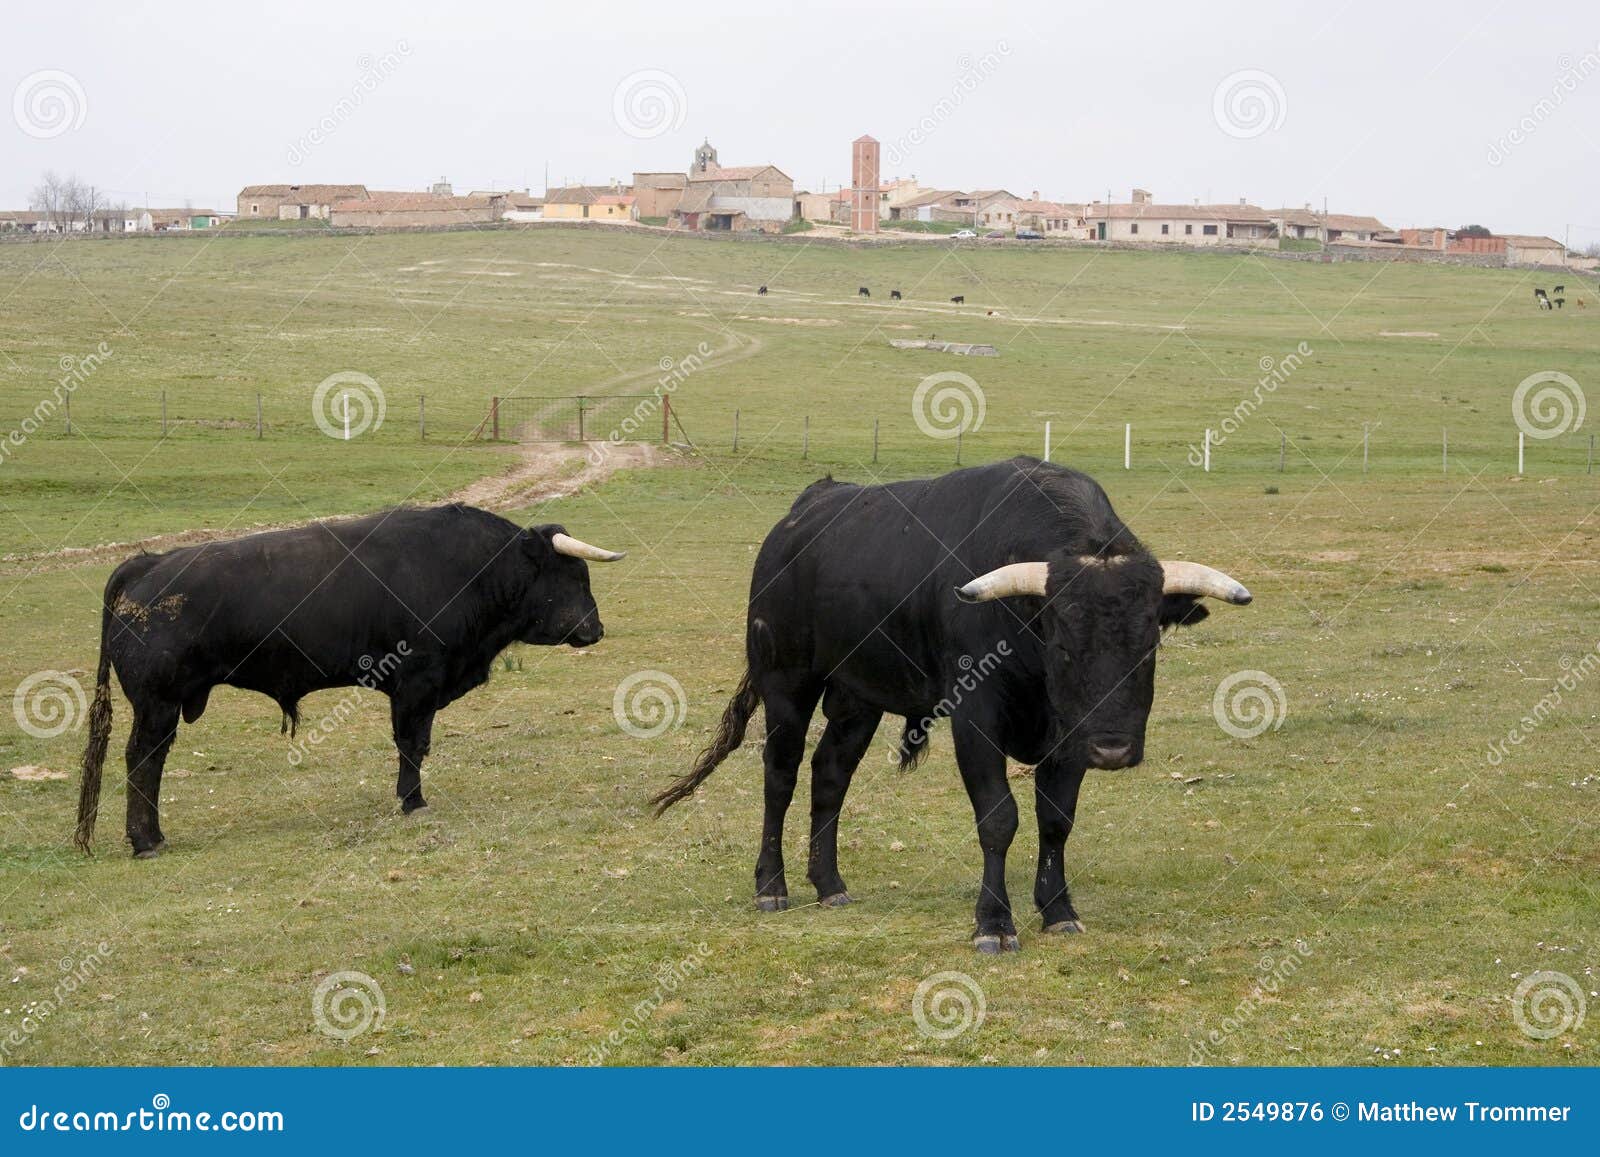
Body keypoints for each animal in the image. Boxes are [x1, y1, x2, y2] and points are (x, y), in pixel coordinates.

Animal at [75, 505, 624, 858]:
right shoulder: (416, 685)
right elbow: (412, 744)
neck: (472, 570)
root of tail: (147, 563)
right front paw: (413, 801)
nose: (595, 629)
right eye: (572, 576)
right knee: (144, 761)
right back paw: (146, 841)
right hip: (158, 705)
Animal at [651, 457, 1251, 952]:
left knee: (830, 776)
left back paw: (829, 884)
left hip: (857, 698)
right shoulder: (975, 719)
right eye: (1062, 644)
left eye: (1149, 643)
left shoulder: (1067, 733)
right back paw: (771, 887)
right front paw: (994, 924)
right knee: (781, 775)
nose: (1112, 749)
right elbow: (999, 818)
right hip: (786, 684)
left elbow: (1056, 820)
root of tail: (800, 516)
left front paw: (1058, 909)